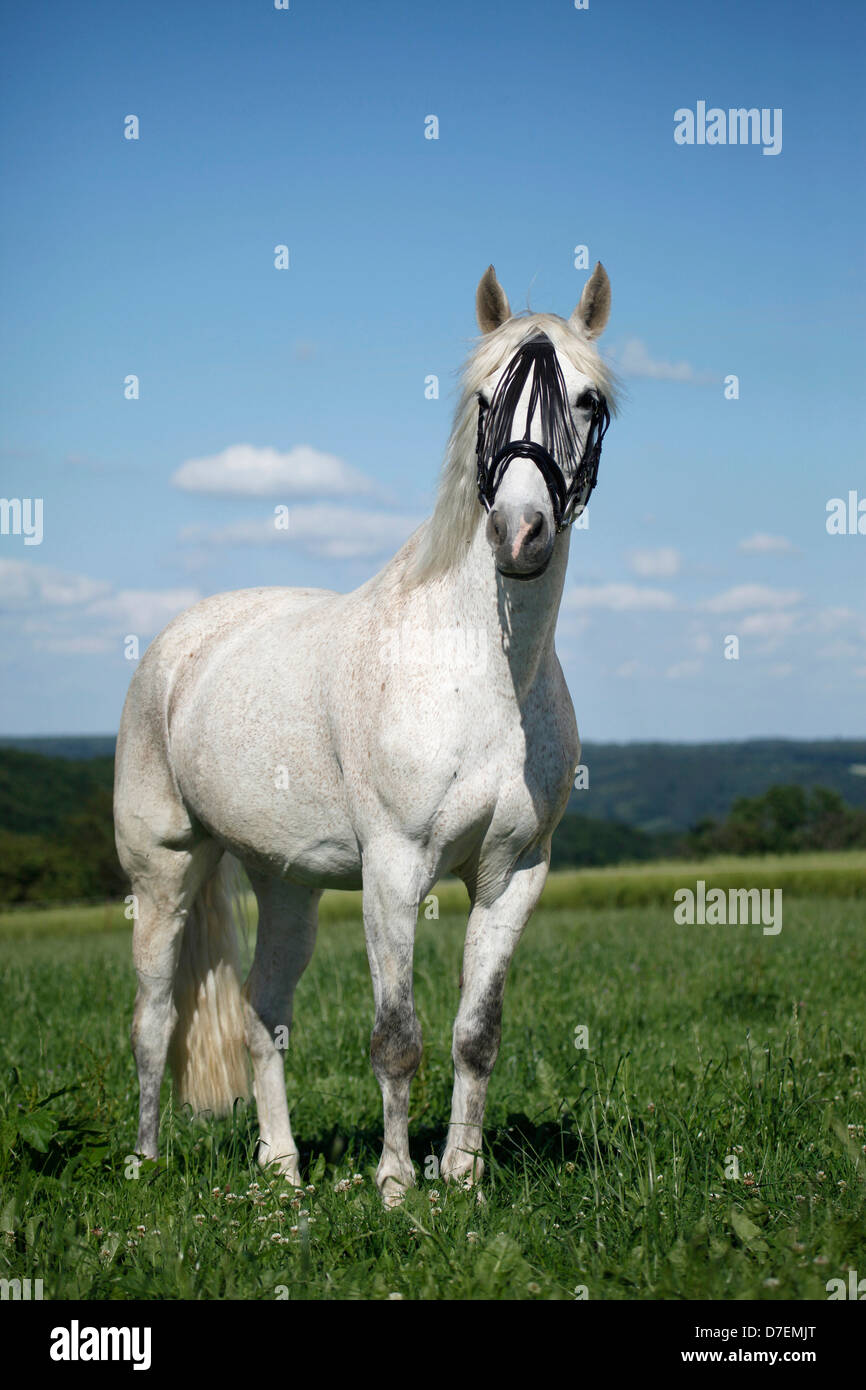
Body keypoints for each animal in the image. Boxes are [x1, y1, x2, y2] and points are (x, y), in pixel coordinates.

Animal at [114, 262, 616, 1205]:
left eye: (590, 400)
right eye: (487, 399)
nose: (520, 535)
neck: (482, 673)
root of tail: (175, 646)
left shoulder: (514, 876)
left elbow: (475, 1034)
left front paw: (462, 1177)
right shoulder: (394, 870)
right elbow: (396, 1037)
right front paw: (394, 1186)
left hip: (286, 884)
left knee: (262, 1013)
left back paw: (281, 1168)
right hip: (163, 870)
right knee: (155, 1016)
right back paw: (145, 1161)